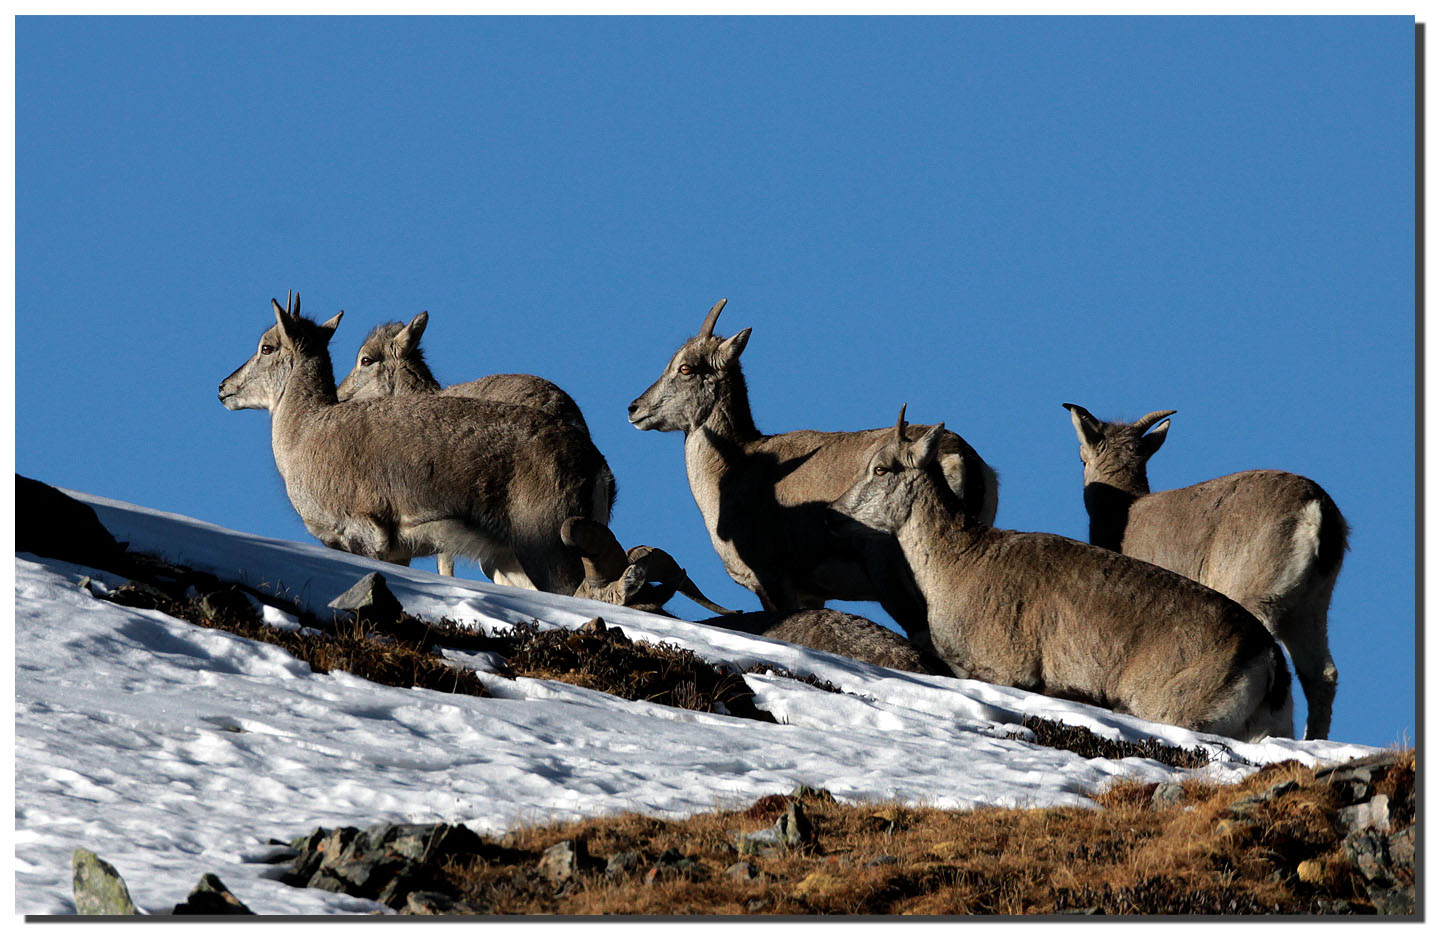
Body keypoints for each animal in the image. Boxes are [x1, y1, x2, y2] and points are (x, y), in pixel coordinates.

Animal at [218, 293, 612, 594]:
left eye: (266, 347)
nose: (223, 387)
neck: (303, 433)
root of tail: (596, 466)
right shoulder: (397, 550)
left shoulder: (364, 532)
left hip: (547, 545)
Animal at [627, 298, 998, 647]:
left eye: (686, 367)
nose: (635, 409)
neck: (735, 470)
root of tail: (959, 457)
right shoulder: (811, 594)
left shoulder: (773, 578)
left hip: (892, 577)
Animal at [829, 407, 1293, 741]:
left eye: (880, 468)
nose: (835, 511)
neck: (959, 563)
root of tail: (1267, 657)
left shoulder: (1006, 672)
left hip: (1176, 712)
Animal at [1063, 403, 1347, 740]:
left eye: (1081, 457)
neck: (1123, 512)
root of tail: (1317, 511)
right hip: (1311, 605)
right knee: (1322, 673)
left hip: (1258, 592)